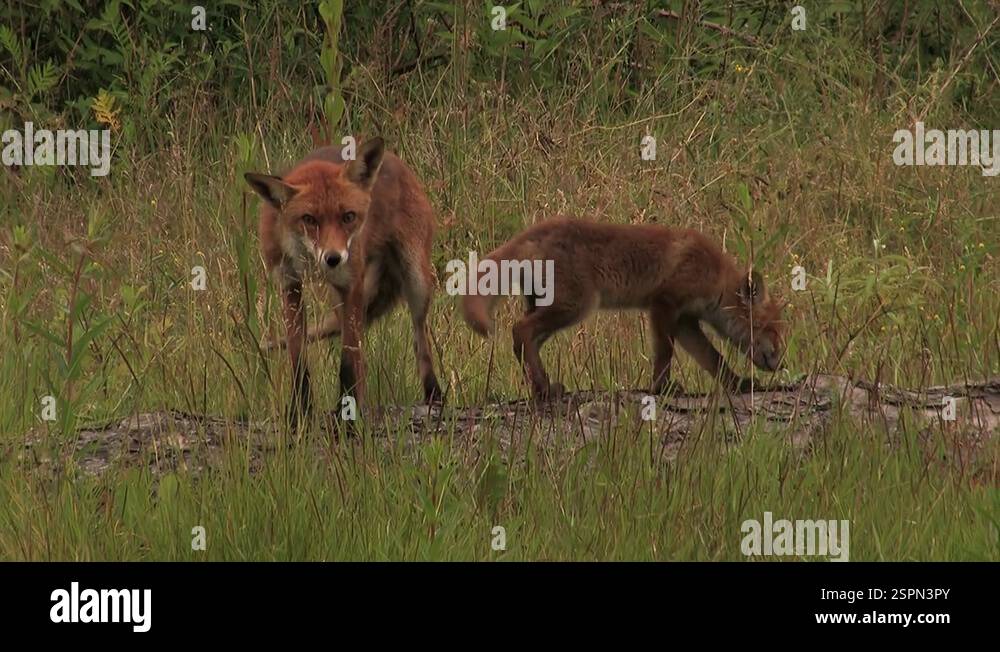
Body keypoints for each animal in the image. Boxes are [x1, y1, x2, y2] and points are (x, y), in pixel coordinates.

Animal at [245, 137, 443, 424]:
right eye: (309, 219)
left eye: (348, 216)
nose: (333, 258)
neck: (307, 259)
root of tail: (396, 161)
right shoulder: (289, 283)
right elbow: (298, 356)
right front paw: (299, 412)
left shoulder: (351, 282)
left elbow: (348, 360)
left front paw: (346, 414)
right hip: (339, 298)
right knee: (363, 355)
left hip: (415, 279)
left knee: (419, 340)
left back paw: (434, 395)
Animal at [461, 218, 786, 400]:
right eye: (773, 330)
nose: (781, 363)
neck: (713, 275)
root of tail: (533, 231)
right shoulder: (664, 304)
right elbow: (664, 354)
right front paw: (662, 389)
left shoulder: (685, 321)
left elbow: (713, 359)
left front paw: (739, 385)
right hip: (575, 306)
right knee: (520, 330)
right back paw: (542, 389)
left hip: (548, 307)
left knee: (525, 341)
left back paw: (541, 386)